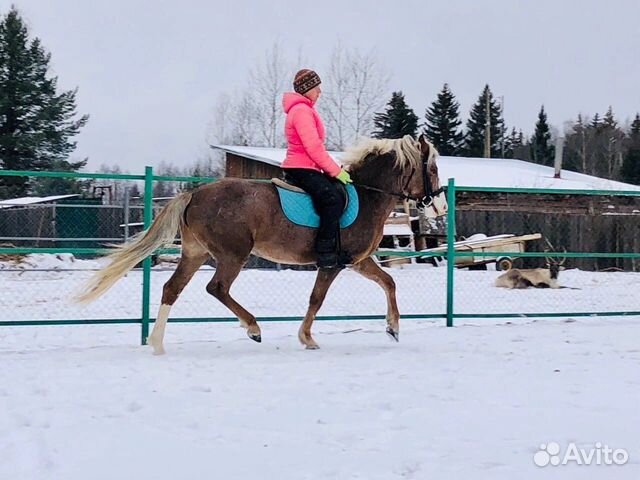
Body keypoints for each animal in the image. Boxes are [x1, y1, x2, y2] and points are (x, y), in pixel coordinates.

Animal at [76, 134, 448, 353]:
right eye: (432, 168)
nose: (440, 206)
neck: (367, 195)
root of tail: (195, 193)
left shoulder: (358, 261)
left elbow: (389, 282)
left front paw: (393, 327)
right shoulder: (334, 263)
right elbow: (316, 299)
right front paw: (307, 338)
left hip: (195, 253)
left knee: (172, 288)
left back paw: (157, 343)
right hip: (231, 254)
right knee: (217, 288)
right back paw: (252, 328)